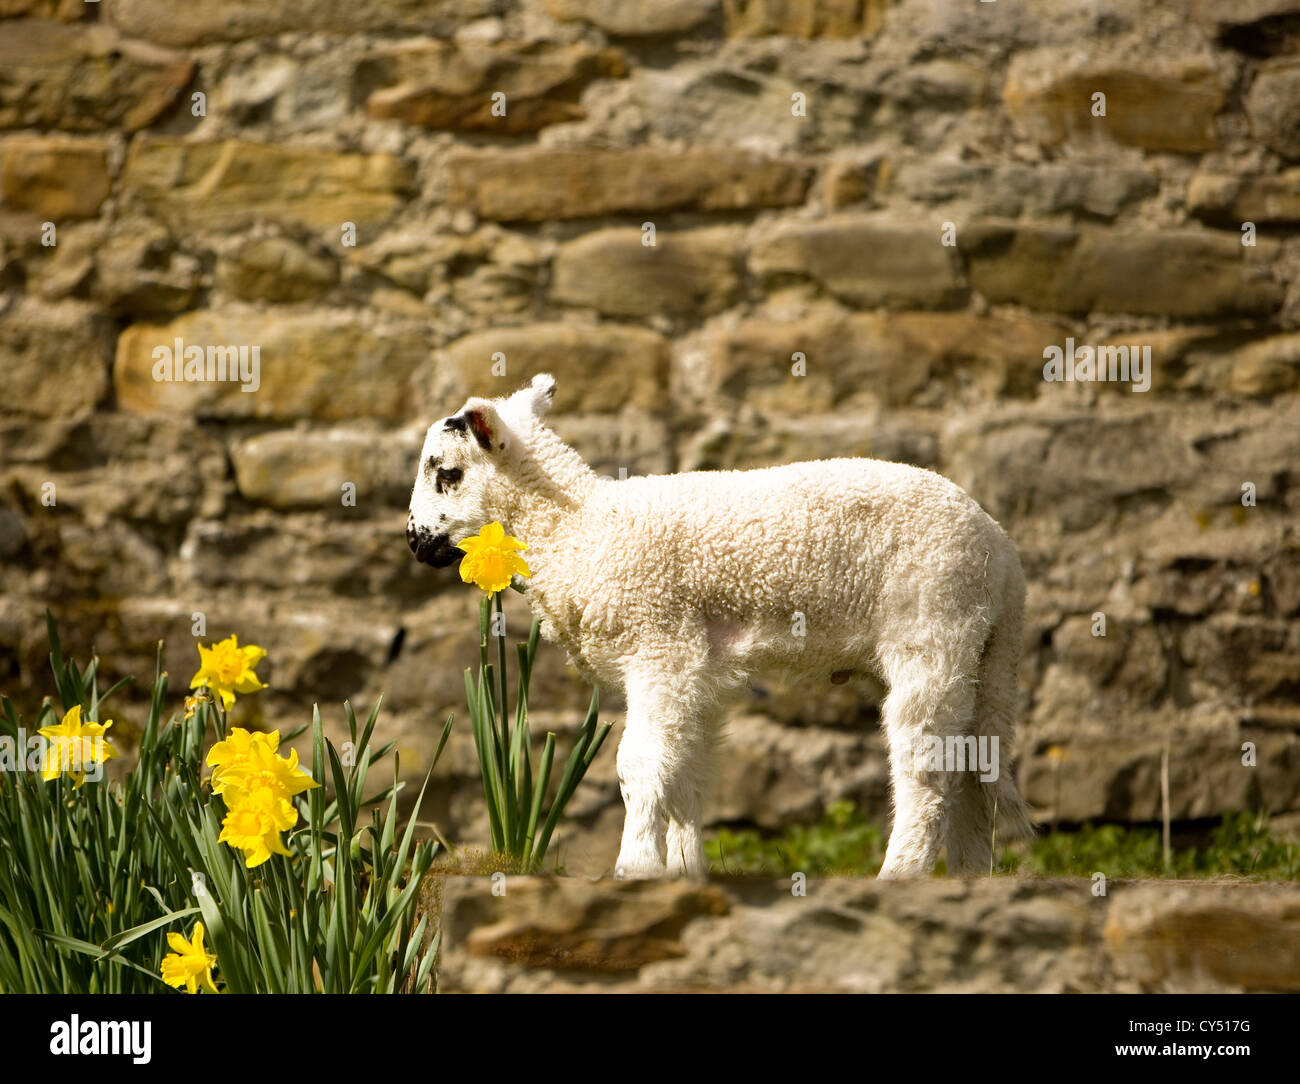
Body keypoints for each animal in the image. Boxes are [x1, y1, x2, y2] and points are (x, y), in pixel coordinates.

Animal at [407, 374, 1034, 879]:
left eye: (448, 474)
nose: (413, 542)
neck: (576, 526)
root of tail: (1003, 554)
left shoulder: (660, 644)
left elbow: (638, 765)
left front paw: (634, 867)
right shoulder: (698, 670)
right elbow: (686, 772)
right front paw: (683, 871)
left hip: (933, 631)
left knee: (927, 771)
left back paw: (900, 875)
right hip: (983, 655)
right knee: (976, 766)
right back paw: (969, 877)